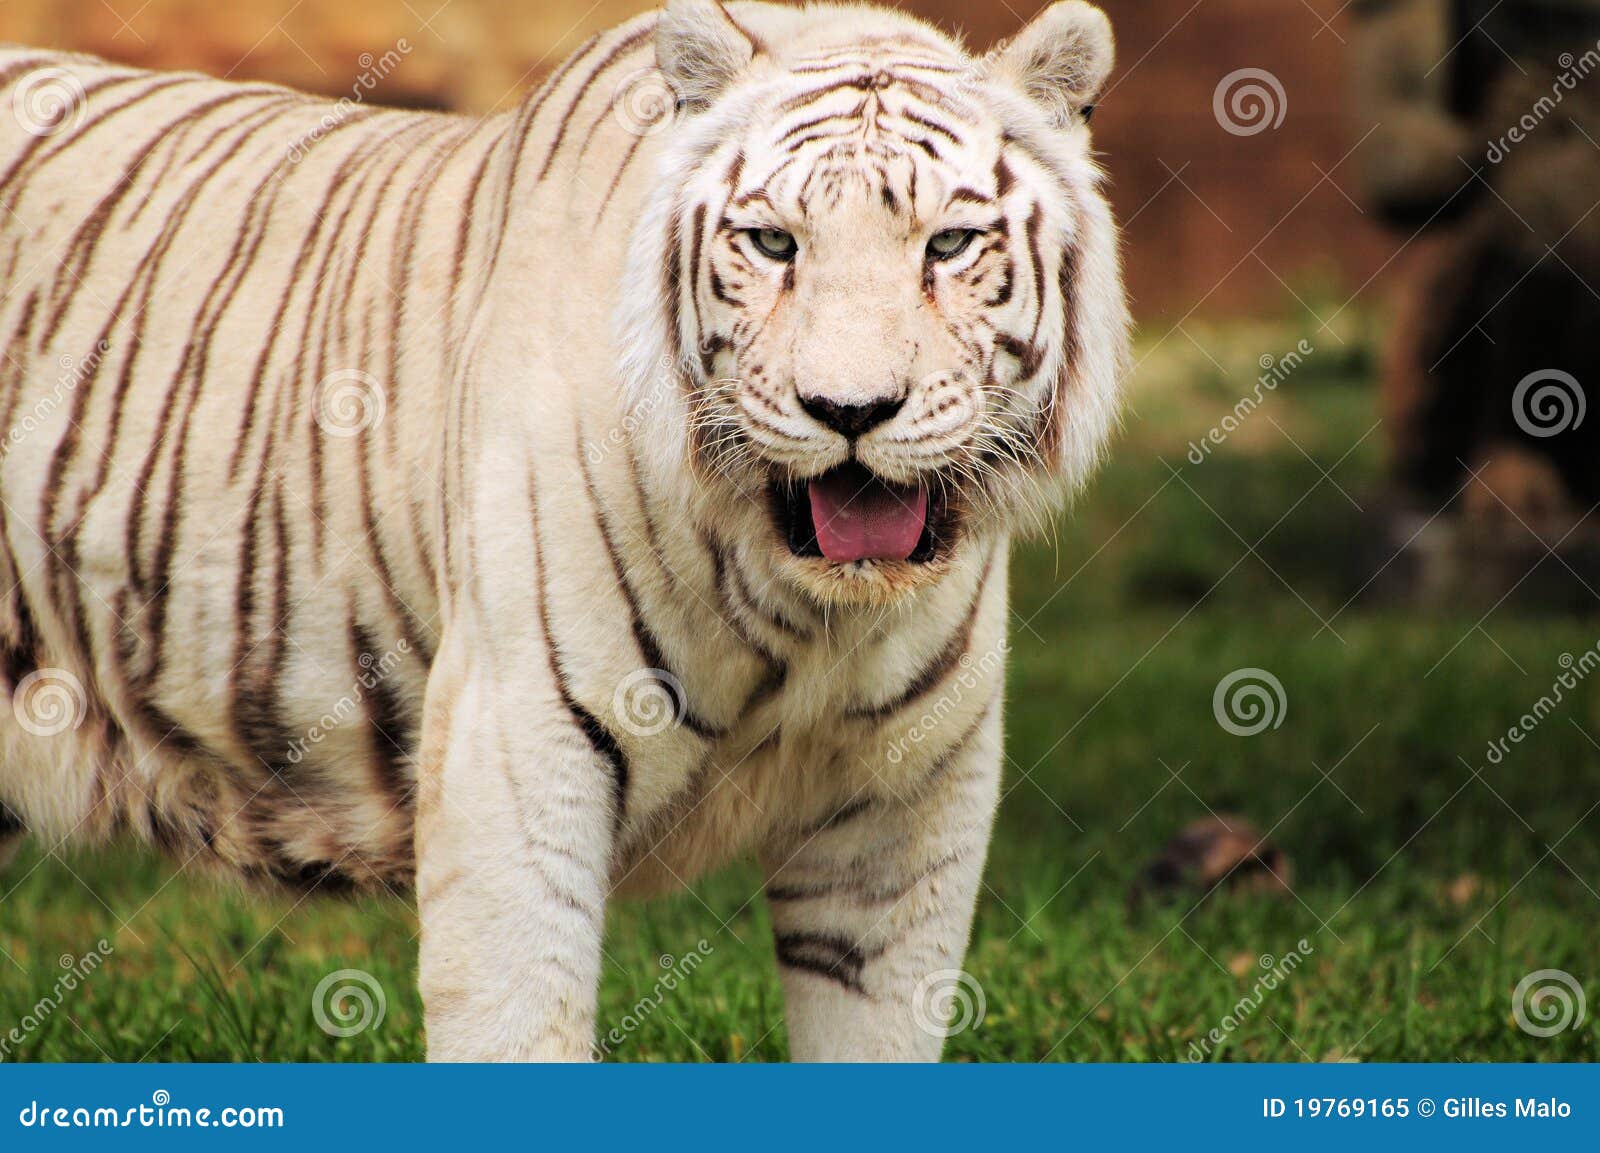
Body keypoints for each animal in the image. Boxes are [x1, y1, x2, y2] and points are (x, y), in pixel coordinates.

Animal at [0, 0, 1128, 1060]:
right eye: (772, 243)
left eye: (950, 244)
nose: (848, 411)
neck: (806, 610)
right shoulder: (515, 738)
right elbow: (516, 1022)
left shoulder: (909, 801)